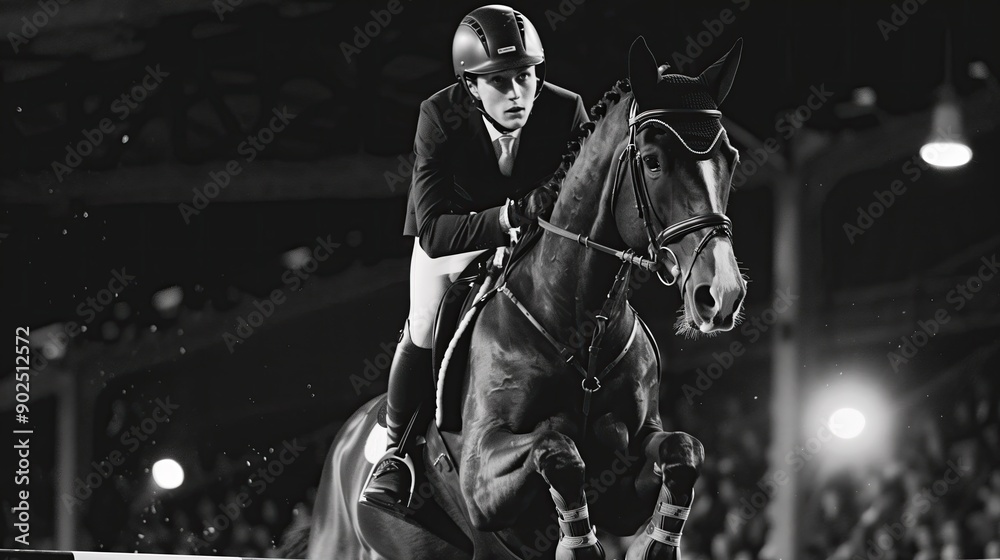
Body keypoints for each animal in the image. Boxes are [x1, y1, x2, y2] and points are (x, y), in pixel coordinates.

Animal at [307, 37, 747, 560]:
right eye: (653, 160)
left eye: (730, 158)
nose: (721, 295)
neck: (579, 327)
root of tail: (345, 438)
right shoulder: (481, 480)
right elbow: (556, 451)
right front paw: (578, 547)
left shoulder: (629, 476)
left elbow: (683, 451)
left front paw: (655, 546)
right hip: (338, 538)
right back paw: (389, 478)